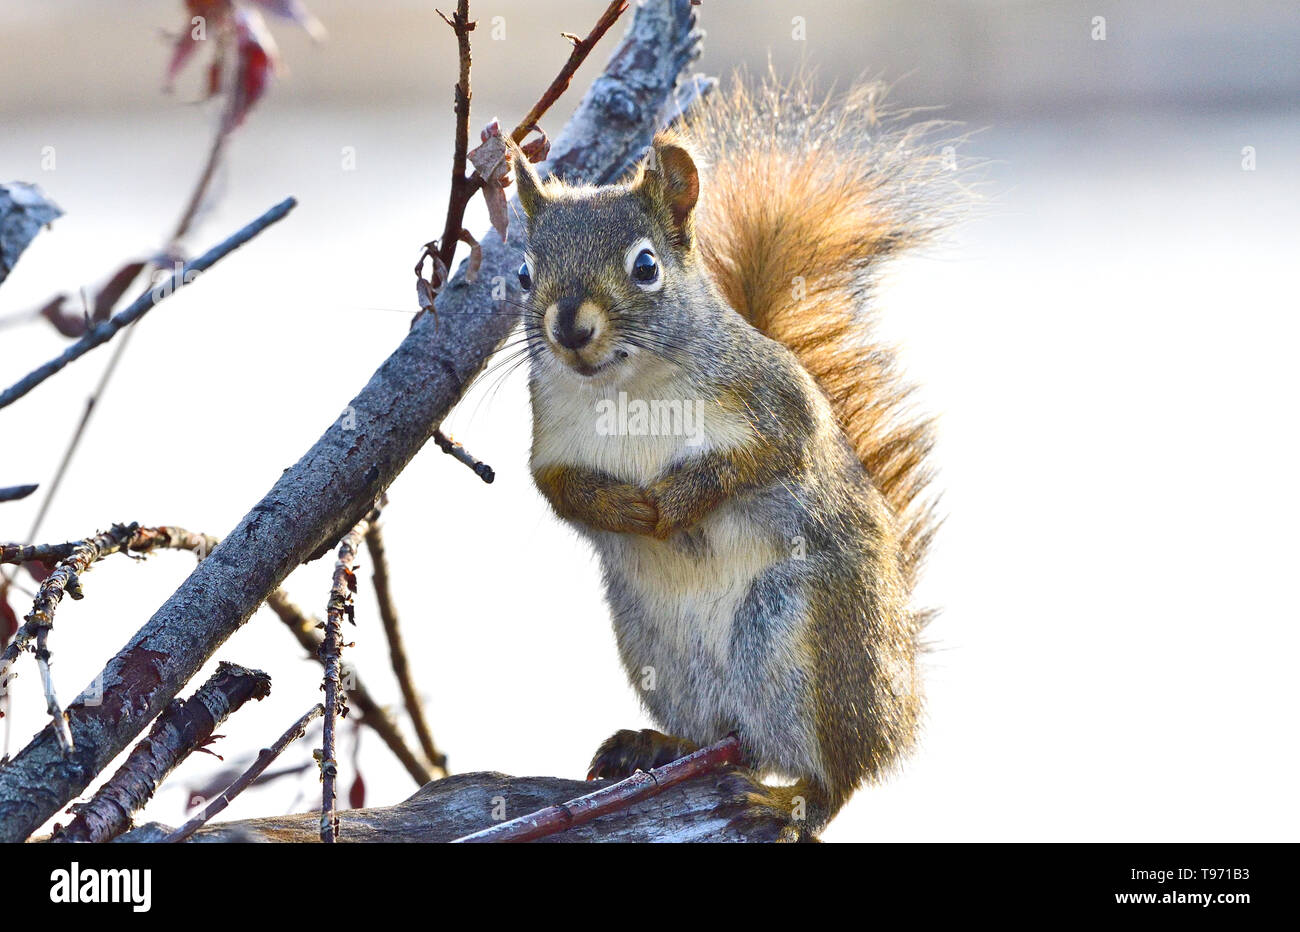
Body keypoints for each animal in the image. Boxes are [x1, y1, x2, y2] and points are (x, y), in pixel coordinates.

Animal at [510, 75, 954, 839]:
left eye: (646, 267)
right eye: (522, 272)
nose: (568, 328)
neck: (629, 390)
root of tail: (901, 696)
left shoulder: (777, 401)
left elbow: (761, 456)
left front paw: (676, 500)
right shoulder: (551, 443)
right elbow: (563, 489)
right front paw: (626, 508)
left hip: (811, 642)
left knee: (834, 780)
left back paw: (787, 799)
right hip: (656, 648)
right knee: (716, 734)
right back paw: (658, 745)